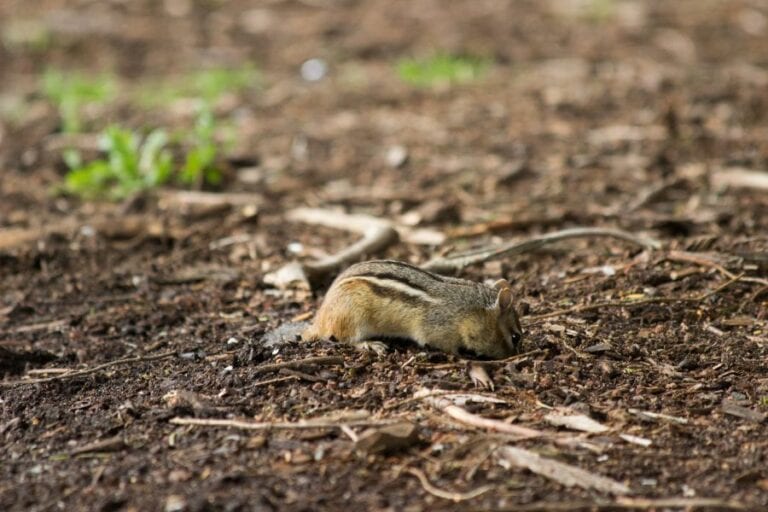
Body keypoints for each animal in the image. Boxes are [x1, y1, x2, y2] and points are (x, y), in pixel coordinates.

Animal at [302, 260, 523, 359]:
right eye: (515, 337)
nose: (513, 356)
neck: (468, 311)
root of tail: (320, 320)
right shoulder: (438, 331)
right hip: (354, 318)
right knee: (346, 339)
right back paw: (371, 344)